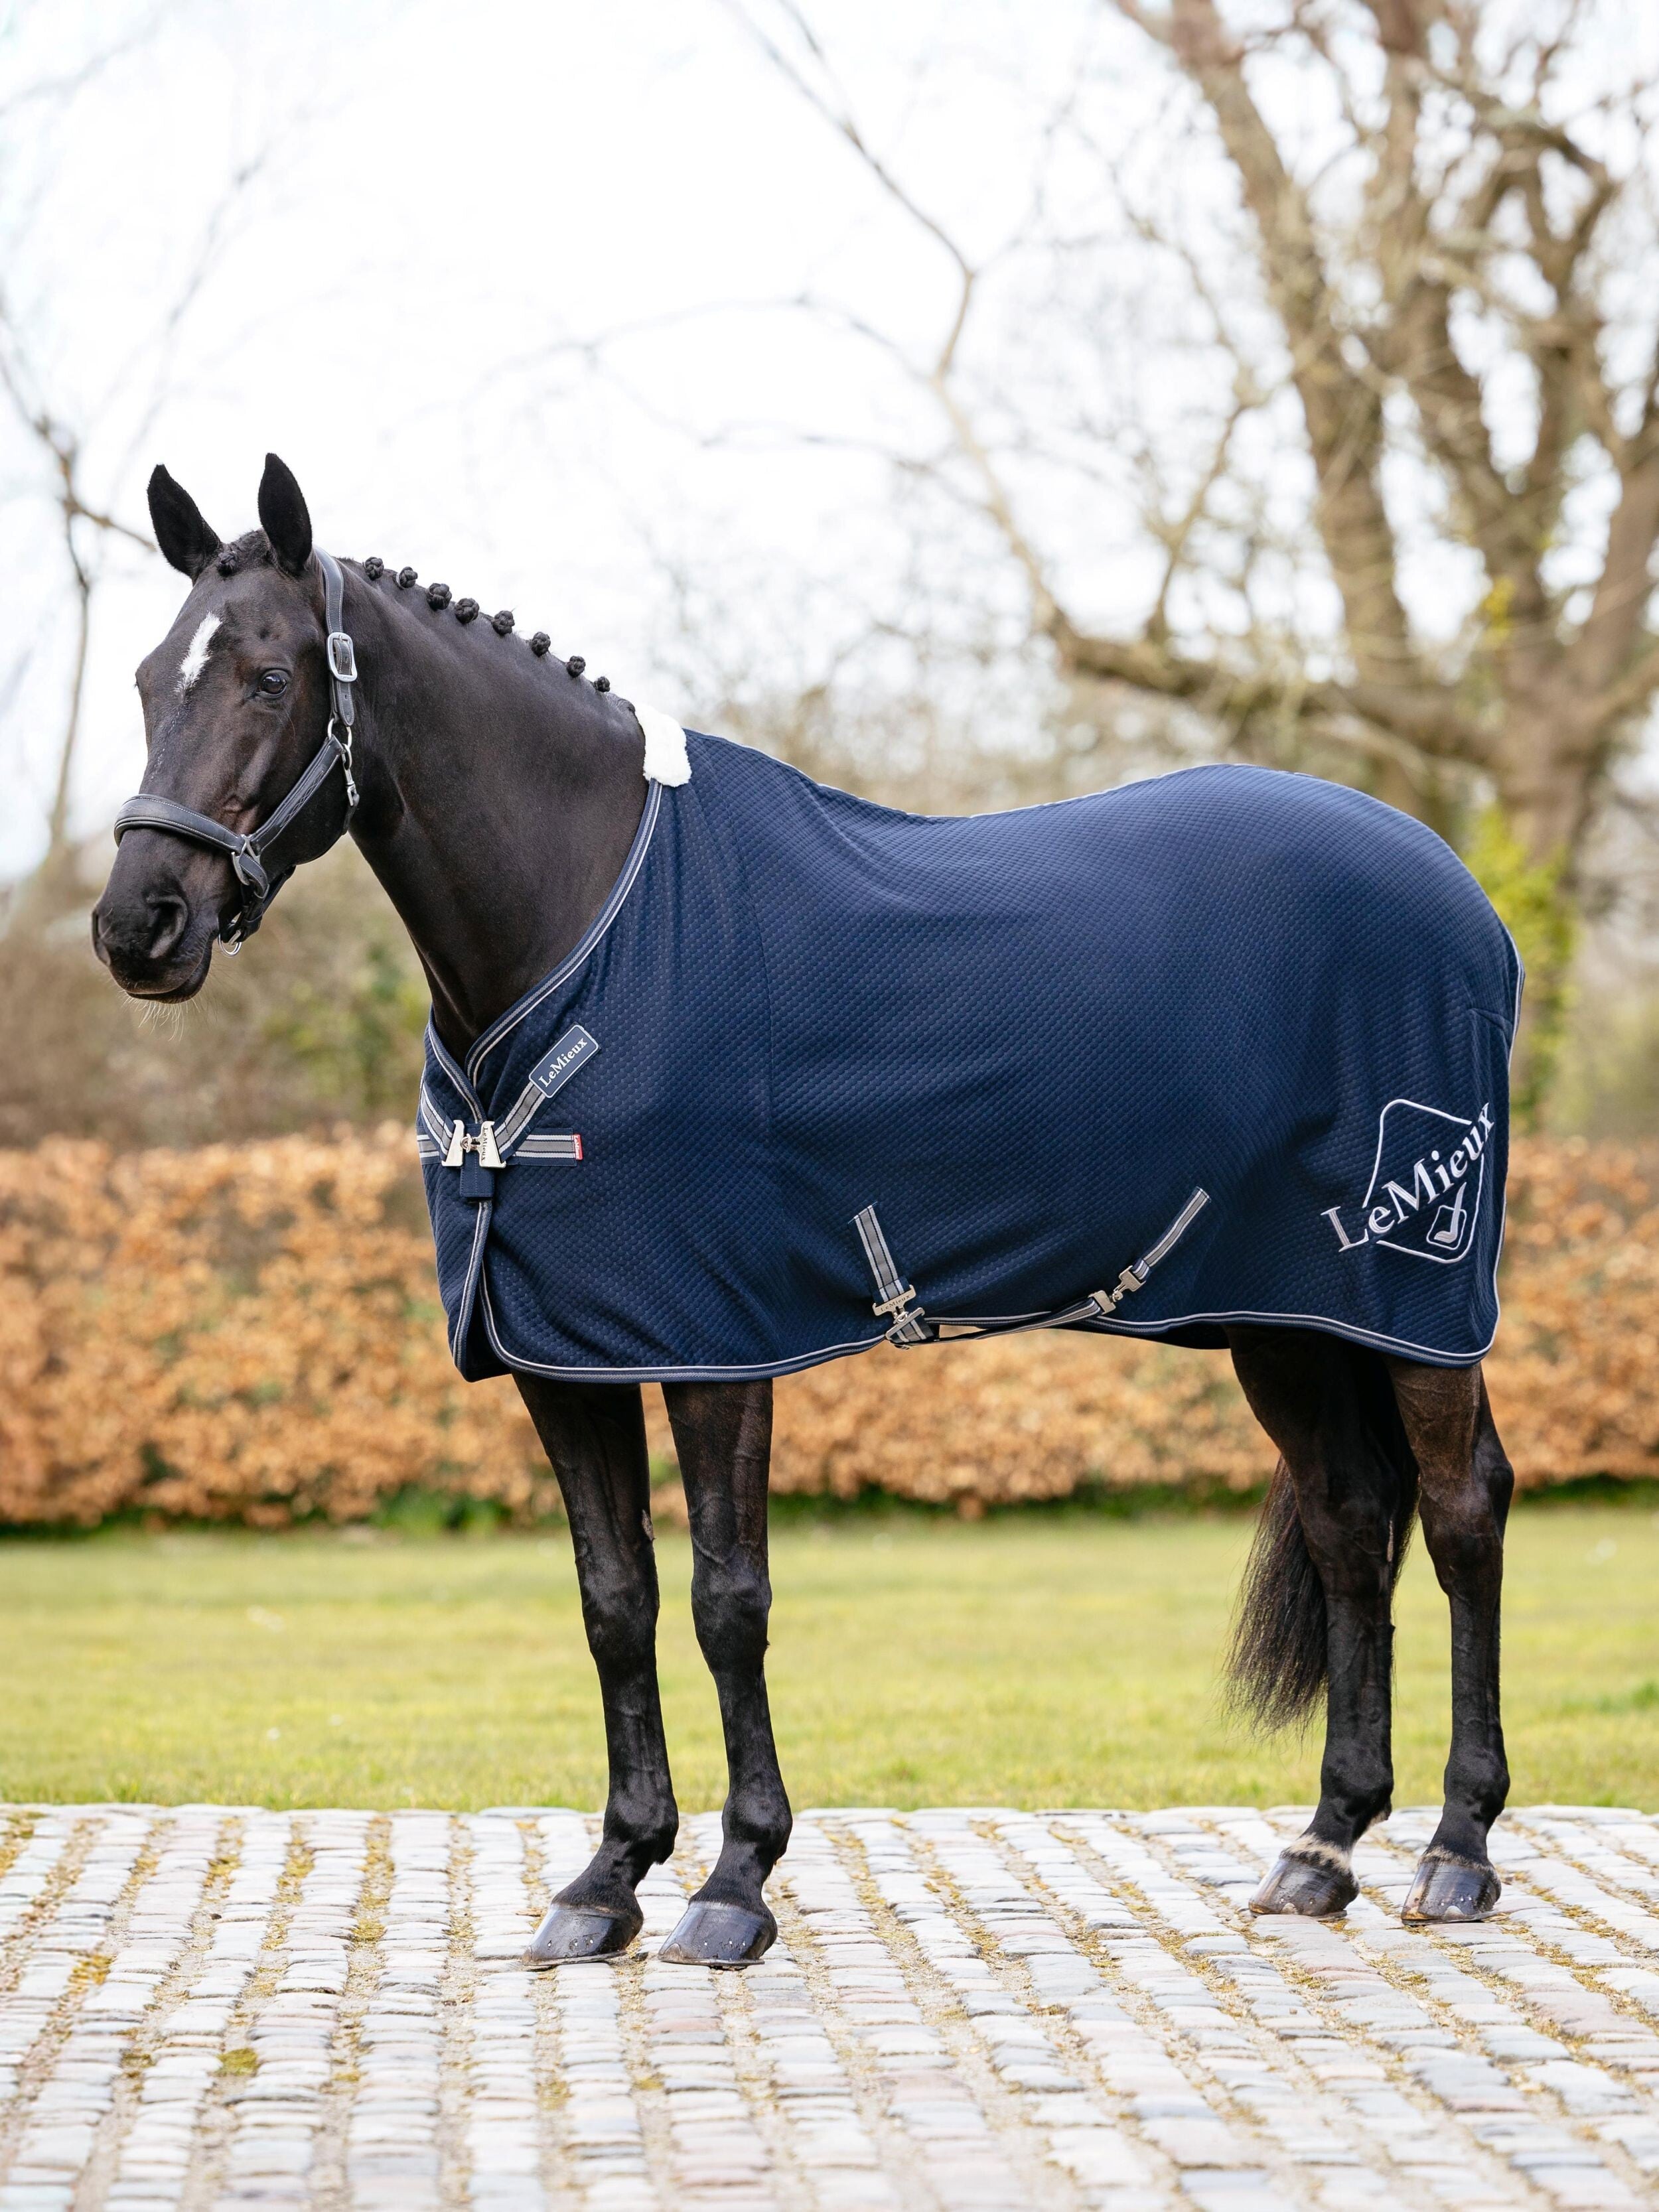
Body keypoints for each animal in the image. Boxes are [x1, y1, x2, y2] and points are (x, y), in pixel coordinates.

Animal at [93, 454, 1518, 1969]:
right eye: (149, 679)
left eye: (265, 676)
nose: (138, 925)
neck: (584, 925)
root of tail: (1458, 898)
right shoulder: (561, 1355)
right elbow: (614, 1600)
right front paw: (608, 1875)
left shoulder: (716, 1343)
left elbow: (728, 1599)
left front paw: (732, 1882)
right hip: (1293, 1319)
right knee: (1349, 1521)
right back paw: (1323, 1846)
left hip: (1417, 1297)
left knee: (1457, 1510)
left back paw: (1456, 1848)